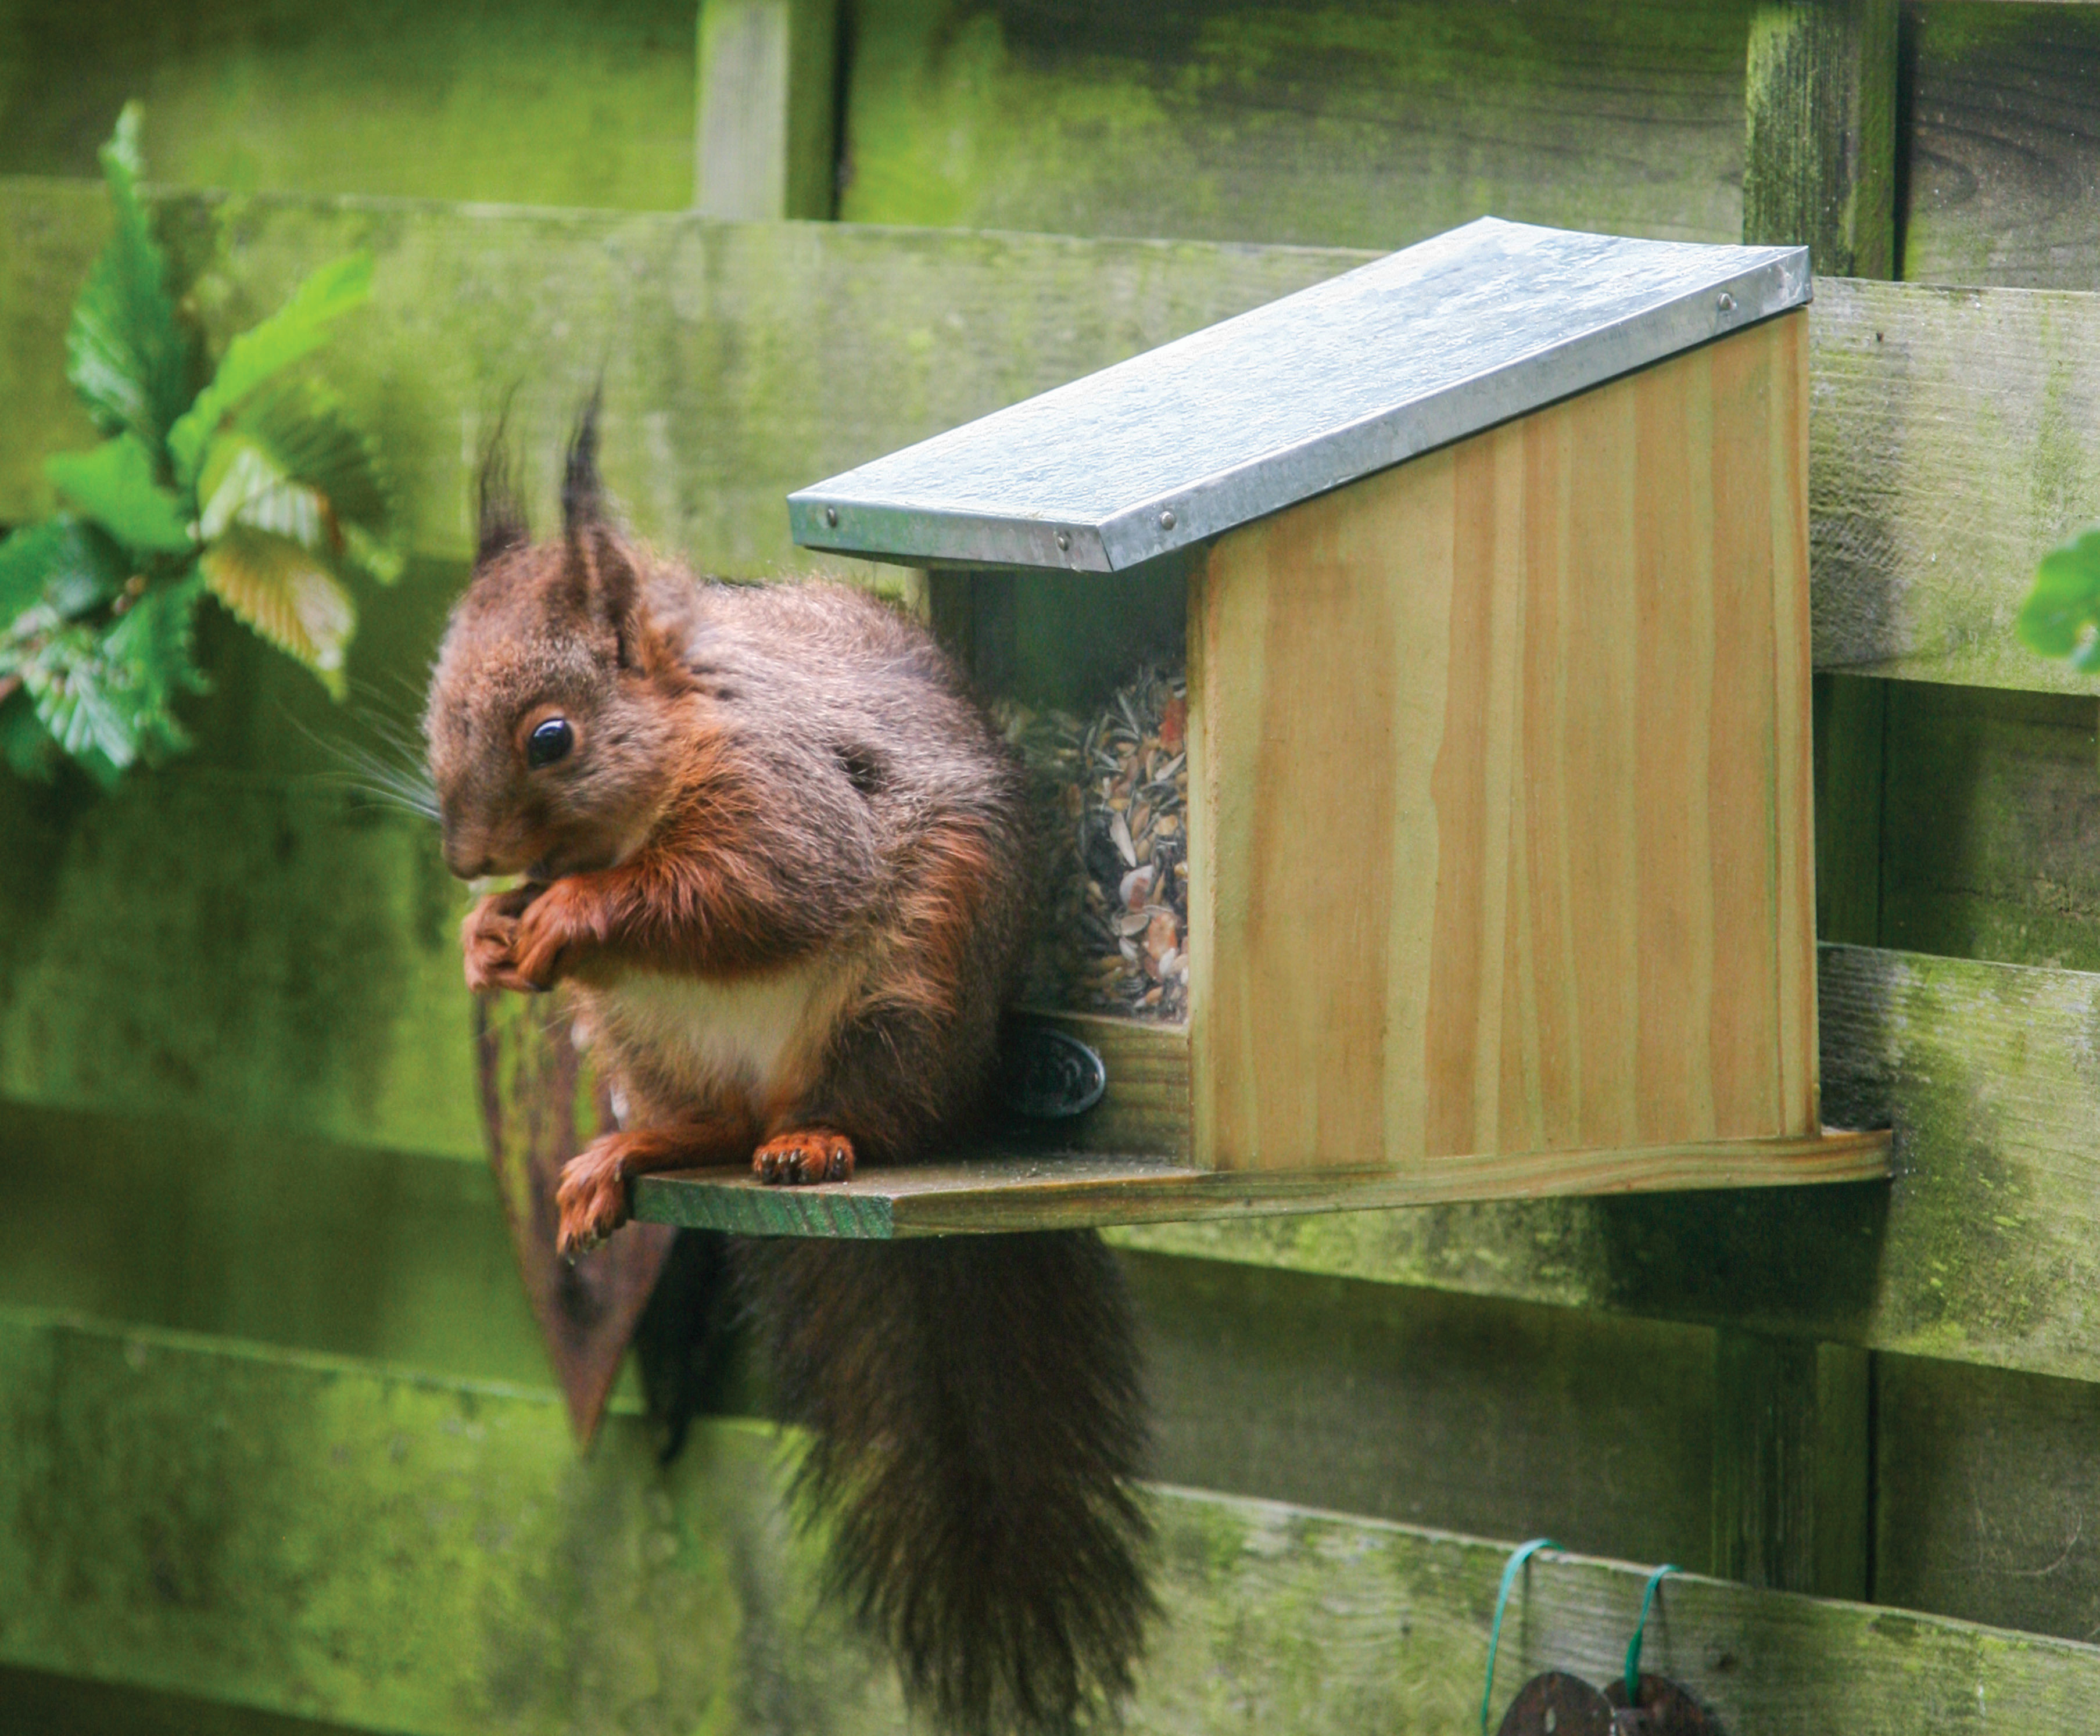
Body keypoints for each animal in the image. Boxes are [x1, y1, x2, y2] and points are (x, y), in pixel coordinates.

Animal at [422, 404, 1156, 1736]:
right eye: (435, 712)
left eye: (551, 736)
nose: (465, 856)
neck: (680, 728)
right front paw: (487, 938)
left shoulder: (790, 794)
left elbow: (756, 889)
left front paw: (567, 916)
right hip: (652, 1046)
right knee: (712, 1123)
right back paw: (627, 1152)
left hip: (900, 997)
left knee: (867, 1114)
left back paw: (817, 1139)